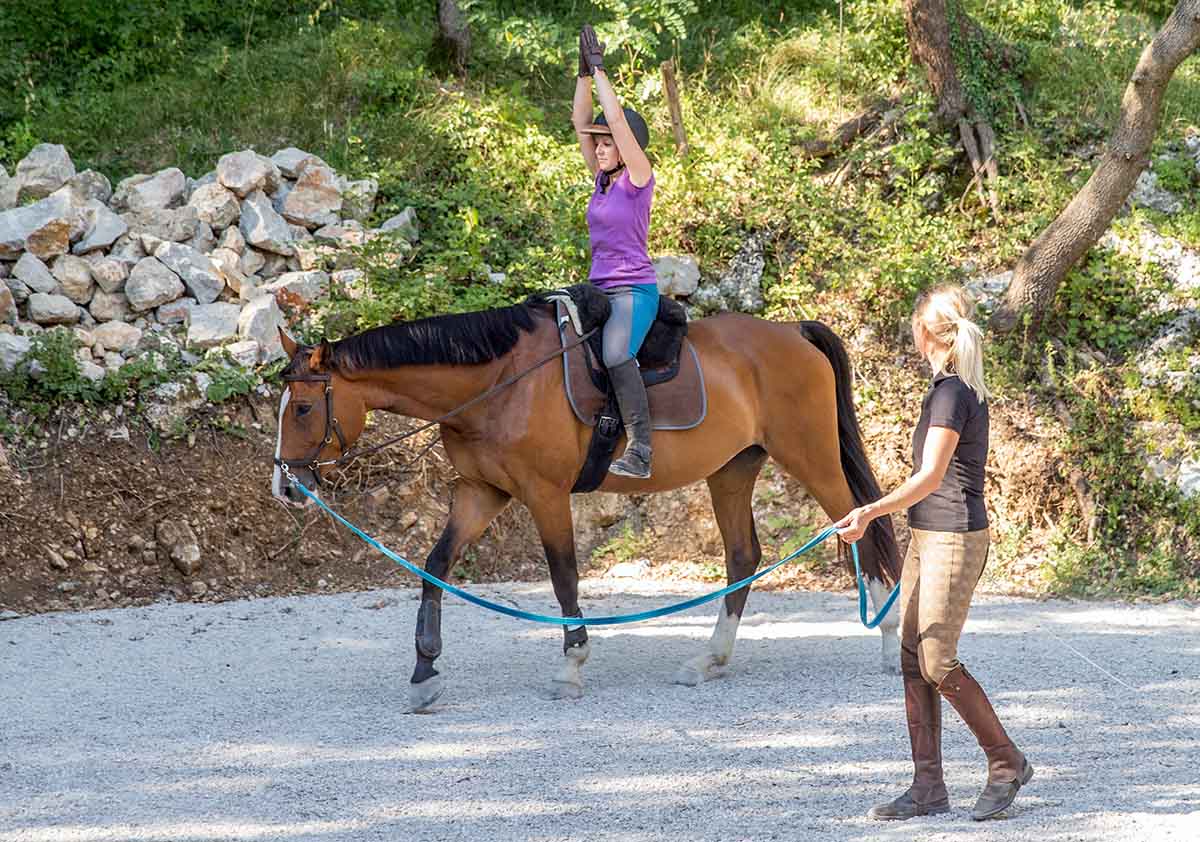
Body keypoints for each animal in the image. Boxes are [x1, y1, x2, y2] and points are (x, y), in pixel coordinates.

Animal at [271, 294, 902, 712]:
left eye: (302, 408)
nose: (285, 487)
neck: (498, 382)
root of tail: (792, 332)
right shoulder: (482, 492)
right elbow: (435, 567)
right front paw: (425, 671)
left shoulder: (544, 494)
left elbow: (564, 577)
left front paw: (572, 666)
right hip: (732, 469)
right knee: (744, 555)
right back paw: (710, 660)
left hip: (811, 457)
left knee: (864, 527)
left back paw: (891, 642)